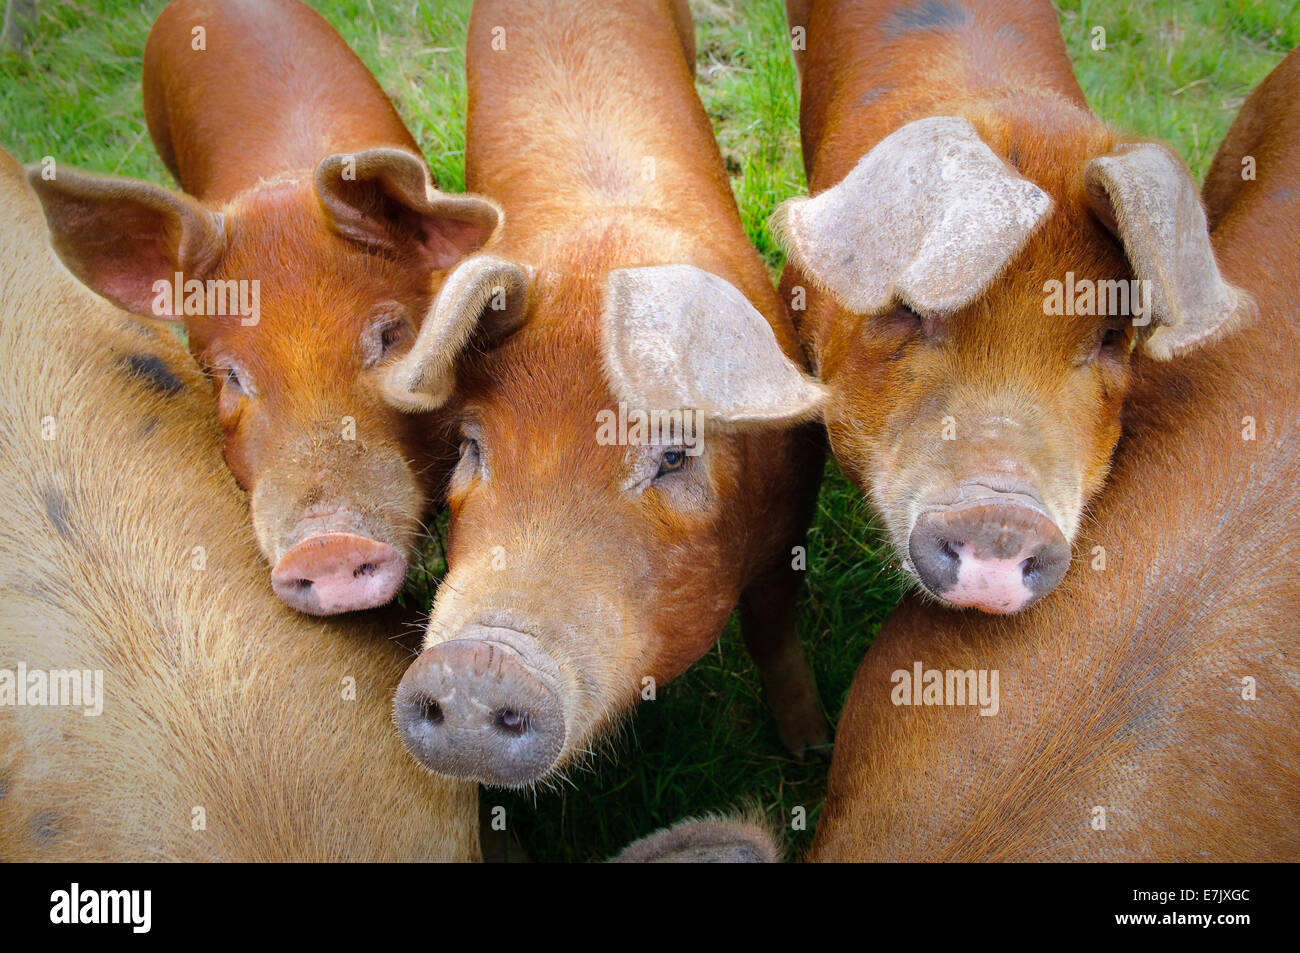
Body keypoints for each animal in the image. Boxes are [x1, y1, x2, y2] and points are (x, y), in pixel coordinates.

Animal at [382, 0, 830, 788]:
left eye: (674, 456)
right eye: (471, 445)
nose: (479, 665)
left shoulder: (789, 522)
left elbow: (773, 628)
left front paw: (812, 750)